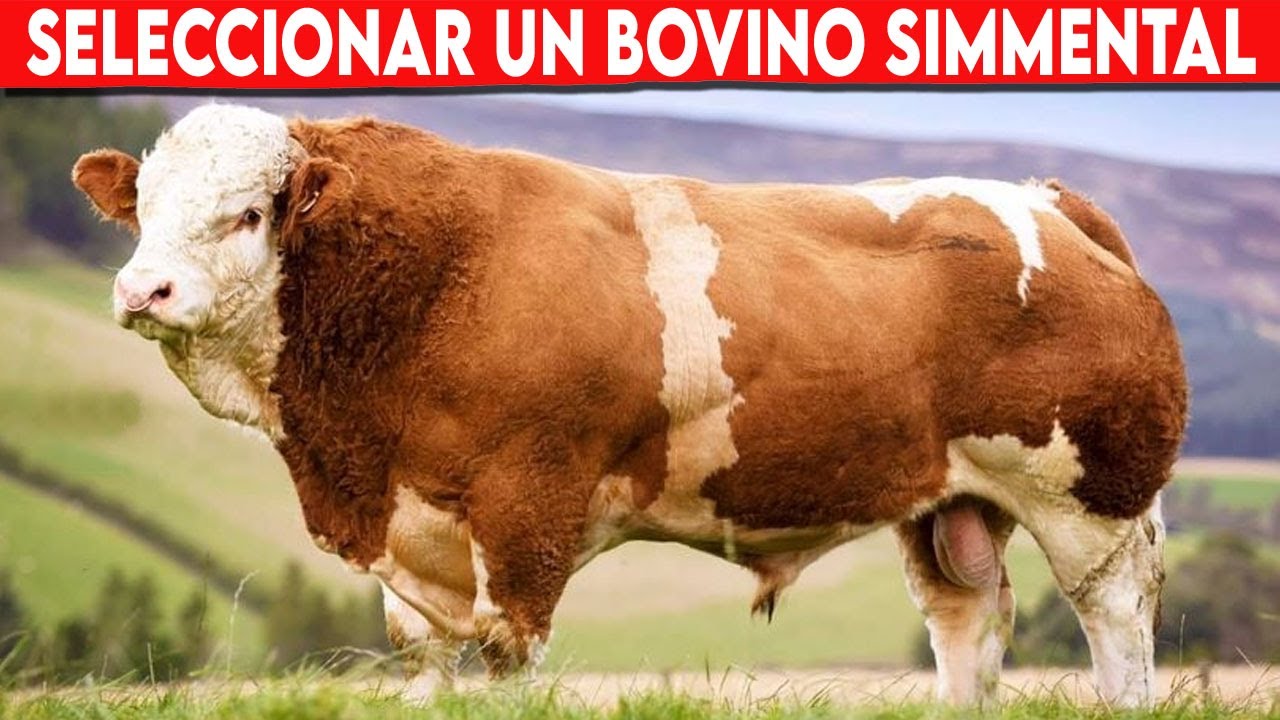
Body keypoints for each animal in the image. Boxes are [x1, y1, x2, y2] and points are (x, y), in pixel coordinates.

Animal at [73, 103, 1187, 707]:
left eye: (247, 214)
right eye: (144, 209)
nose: (142, 292)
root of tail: (1042, 198)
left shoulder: (524, 509)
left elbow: (506, 652)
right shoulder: (412, 532)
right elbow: (426, 658)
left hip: (1091, 500)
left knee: (1116, 620)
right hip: (950, 501)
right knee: (966, 621)